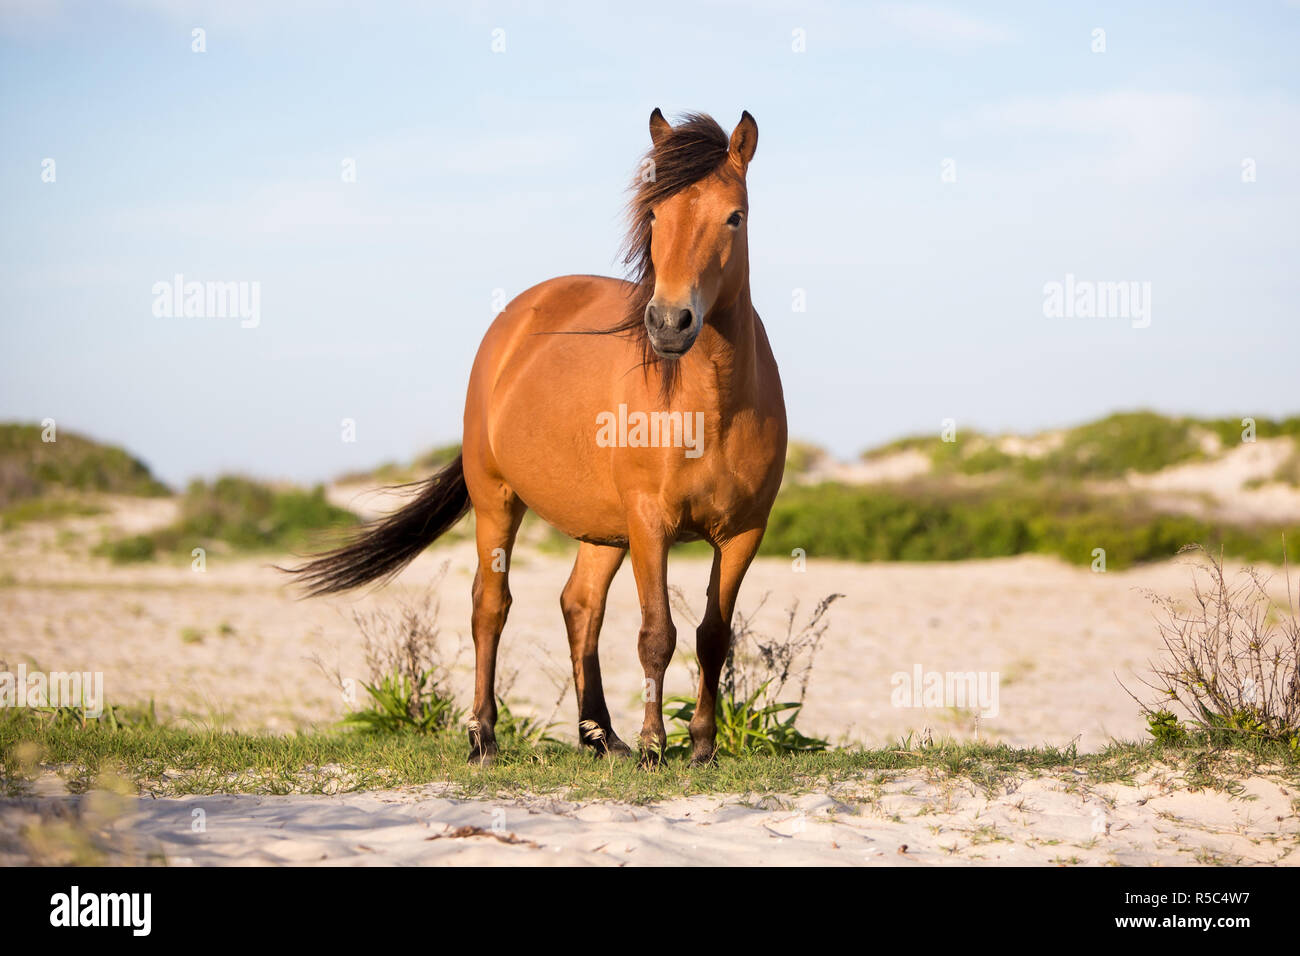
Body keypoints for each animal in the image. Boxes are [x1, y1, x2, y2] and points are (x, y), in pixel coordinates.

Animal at [288, 109, 787, 766]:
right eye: (655, 215)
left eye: (735, 216)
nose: (669, 322)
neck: (712, 406)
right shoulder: (651, 522)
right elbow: (657, 634)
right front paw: (656, 747)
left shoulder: (744, 533)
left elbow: (713, 636)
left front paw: (700, 746)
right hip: (498, 499)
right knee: (490, 607)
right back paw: (483, 736)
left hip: (604, 529)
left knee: (580, 605)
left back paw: (599, 736)